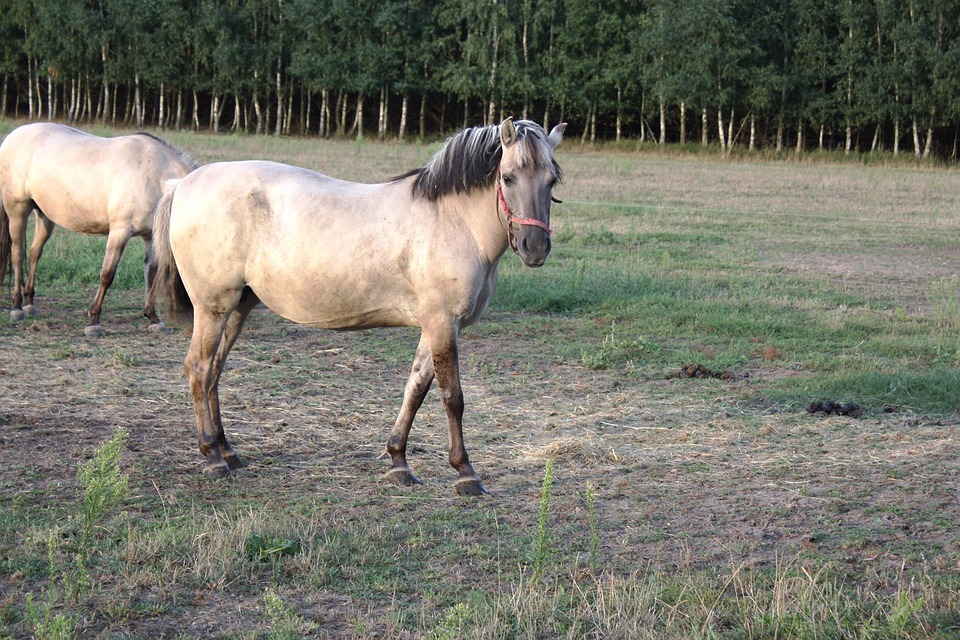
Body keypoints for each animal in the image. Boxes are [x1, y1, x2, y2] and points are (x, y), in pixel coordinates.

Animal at [0, 123, 198, 337]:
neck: (156, 175)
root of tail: (12, 136)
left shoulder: (150, 237)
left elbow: (151, 273)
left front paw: (152, 318)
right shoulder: (120, 232)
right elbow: (107, 275)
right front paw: (94, 321)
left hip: (44, 215)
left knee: (34, 253)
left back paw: (29, 303)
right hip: (17, 210)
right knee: (17, 255)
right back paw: (17, 307)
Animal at [150, 118, 565, 495]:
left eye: (551, 181)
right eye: (508, 177)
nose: (535, 247)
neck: (452, 220)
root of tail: (181, 184)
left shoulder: (436, 326)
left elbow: (415, 389)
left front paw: (398, 462)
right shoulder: (442, 324)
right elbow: (453, 398)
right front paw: (465, 473)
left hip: (237, 308)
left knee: (215, 372)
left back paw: (227, 450)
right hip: (212, 309)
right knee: (199, 369)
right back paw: (212, 457)